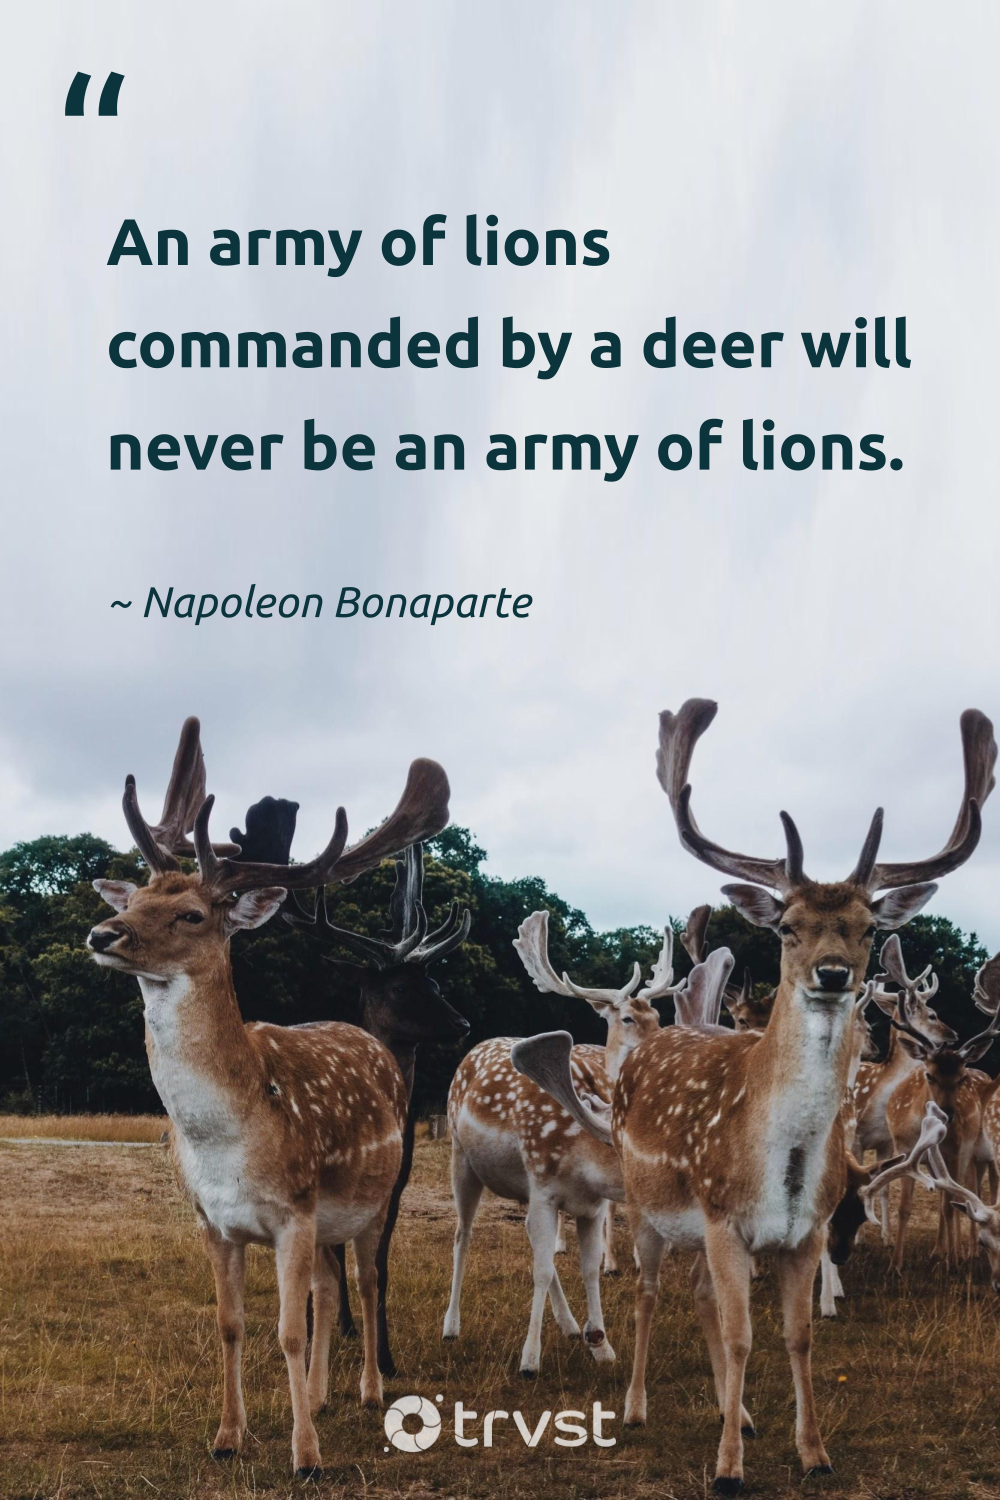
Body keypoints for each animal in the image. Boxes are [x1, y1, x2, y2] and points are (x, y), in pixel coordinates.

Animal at [86, 718, 452, 1478]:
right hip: (328, 1218)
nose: (102, 933)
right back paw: (316, 1397)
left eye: (192, 913)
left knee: (366, 1281)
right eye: (132, 901)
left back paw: (369, 1391)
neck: (228, 1141)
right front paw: (229, 1437)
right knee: (329, 1290)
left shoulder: (293, 1210)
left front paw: (305, 1457)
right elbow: (233, 1326)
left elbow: (287, 1330)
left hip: (372, 1198)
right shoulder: (212, 1221)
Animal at [443, 912, 721, 1376]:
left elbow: (585, 1269)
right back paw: (451, 1325)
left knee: (531, 1240)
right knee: (464, 1233)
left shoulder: (584, 1203)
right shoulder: (544, 1186)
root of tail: (472, 1050)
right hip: (461, 1157)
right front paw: (530, 1360)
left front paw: (602, 1344)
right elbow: (540, 1269)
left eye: (658, 1015)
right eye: (626, 1018)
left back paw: (571, 1325)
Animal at [852, 935, 958, 1242]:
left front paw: (886, 1236)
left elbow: (885, 1186)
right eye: (932, 1015)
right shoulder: (857, 1139)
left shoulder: (887, 1143)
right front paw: (859, 1237)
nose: (954, 1034)